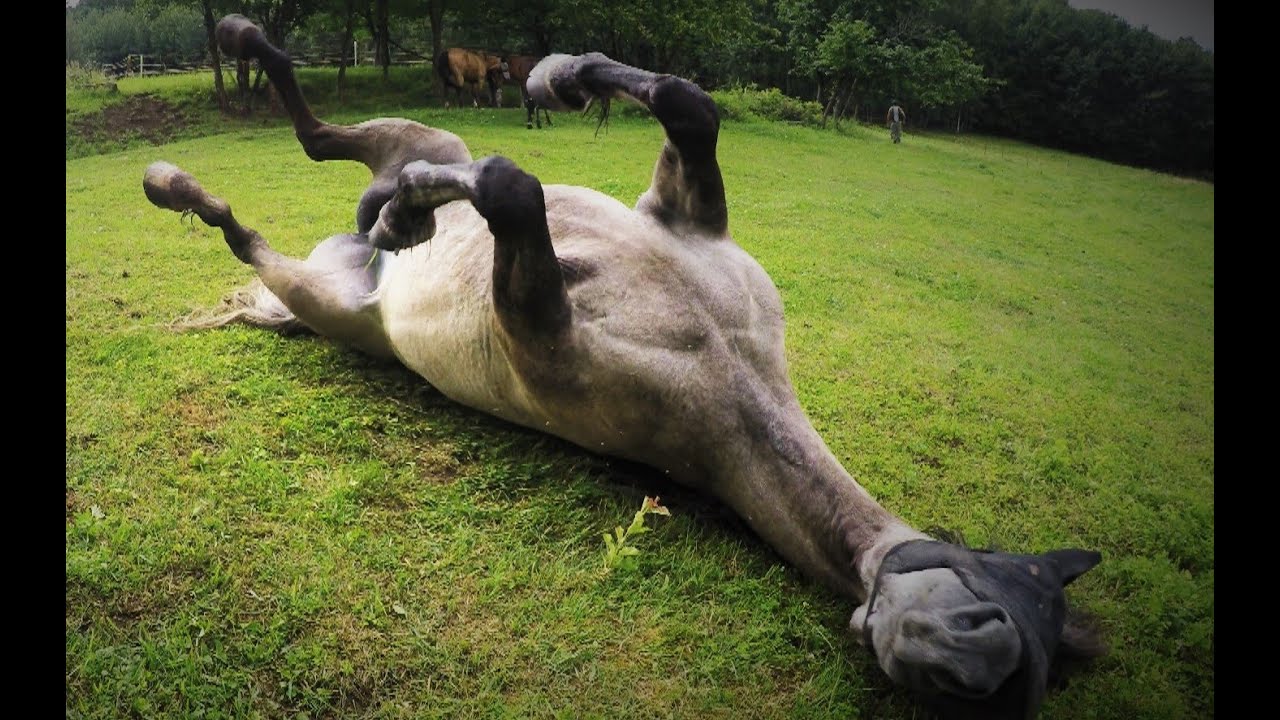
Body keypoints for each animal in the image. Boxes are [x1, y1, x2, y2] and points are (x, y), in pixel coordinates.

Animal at [145, 15, 1105, 719]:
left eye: (977, 679)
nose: (963, 659)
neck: (731, 380)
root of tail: (338, 267)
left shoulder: (538, 330)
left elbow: (511, 187)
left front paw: (412, 210)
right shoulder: (681, 214)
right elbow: (683, 104)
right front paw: (554, 80)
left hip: (323, 298)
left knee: (253, 222)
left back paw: (215, 189)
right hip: (417, 131)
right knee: (324, 138)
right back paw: (257, 82)